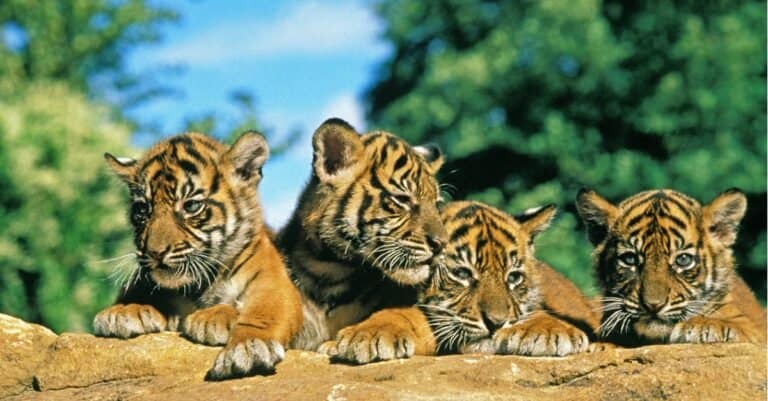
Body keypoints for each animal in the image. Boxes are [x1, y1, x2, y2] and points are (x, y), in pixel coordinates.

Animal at [92, 132, 303, 380]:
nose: (156, 252)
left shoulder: (272, 285)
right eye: (143, 210)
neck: (200, 284)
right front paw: (126, 310)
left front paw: (247, 348)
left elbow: (263, 315)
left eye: (191, 206)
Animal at [276, 118, 447, 351]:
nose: (441, 244)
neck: (329, 271)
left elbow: (403, 312)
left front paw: (370, 334)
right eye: (402, 199)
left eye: (437, 205)